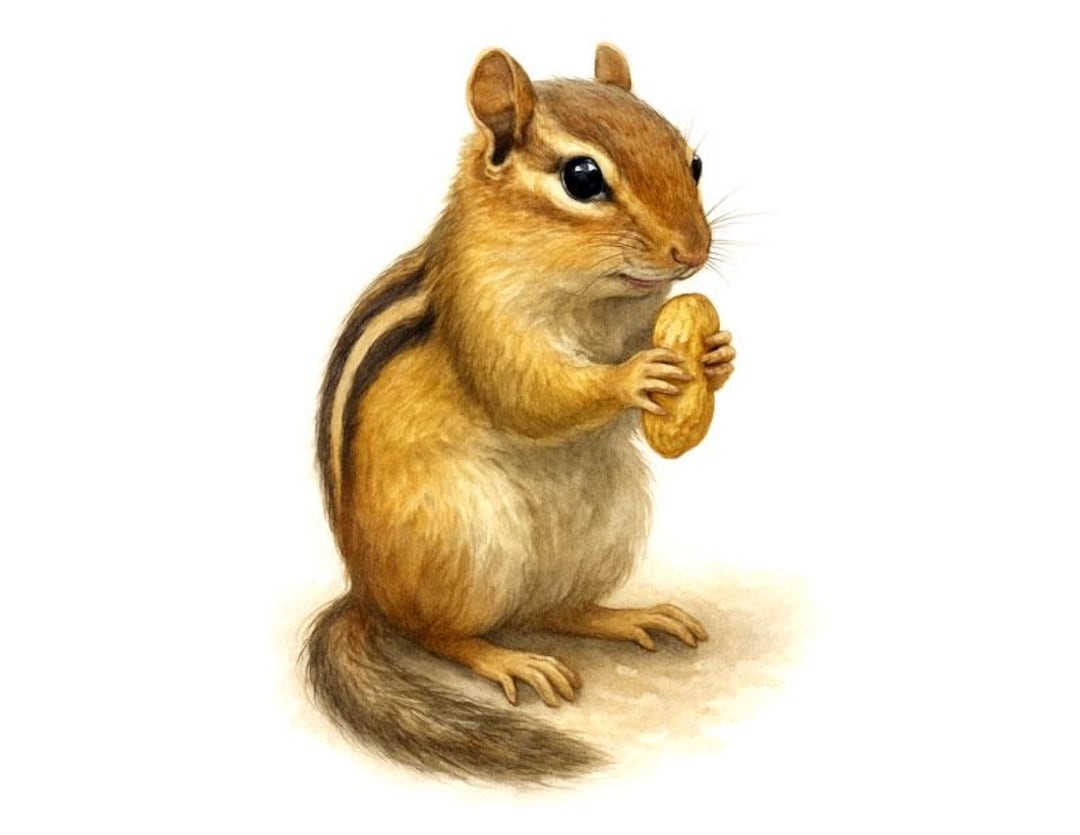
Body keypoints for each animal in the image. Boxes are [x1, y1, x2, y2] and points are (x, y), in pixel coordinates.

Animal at [306, 43, 736, 783]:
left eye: (694, 161)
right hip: (461, 535)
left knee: (557, 610)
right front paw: (635, 375)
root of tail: (364, 590)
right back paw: (507, 659)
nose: (693, 251)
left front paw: (713, 355)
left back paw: (625, 617)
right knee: (438, 633)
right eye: (583, 178)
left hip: (608, 525)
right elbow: (532, 393)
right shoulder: (482, 318)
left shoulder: (637, 320)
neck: (592, 297)